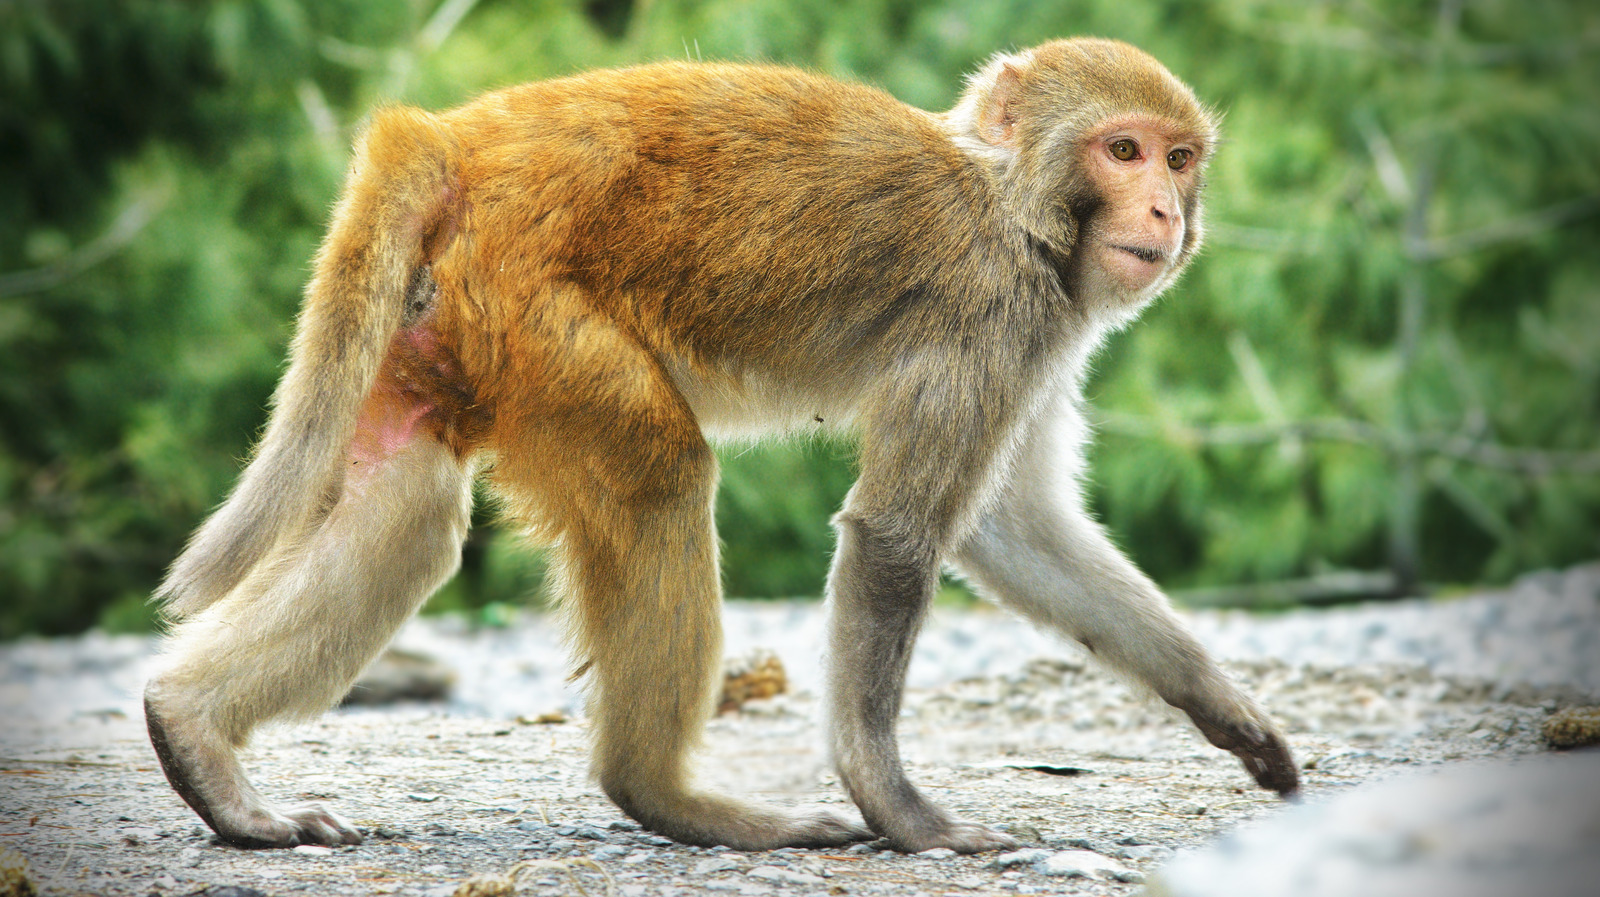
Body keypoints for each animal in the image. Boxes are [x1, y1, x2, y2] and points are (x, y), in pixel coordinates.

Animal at [144, 37, 1299, 855]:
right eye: (1122, 149)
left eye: (1178, 157)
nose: (1164, 208)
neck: (1011, 199)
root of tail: (458, 141)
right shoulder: (995, 312)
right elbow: (894, 535)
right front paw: (899, 810)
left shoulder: (1038, 333)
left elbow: (1017, 531)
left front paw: (1226, 707)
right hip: (538, 315)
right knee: (658, 475)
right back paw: (670, 796)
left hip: (444, 322)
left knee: (406, 503)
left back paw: (195, 743)